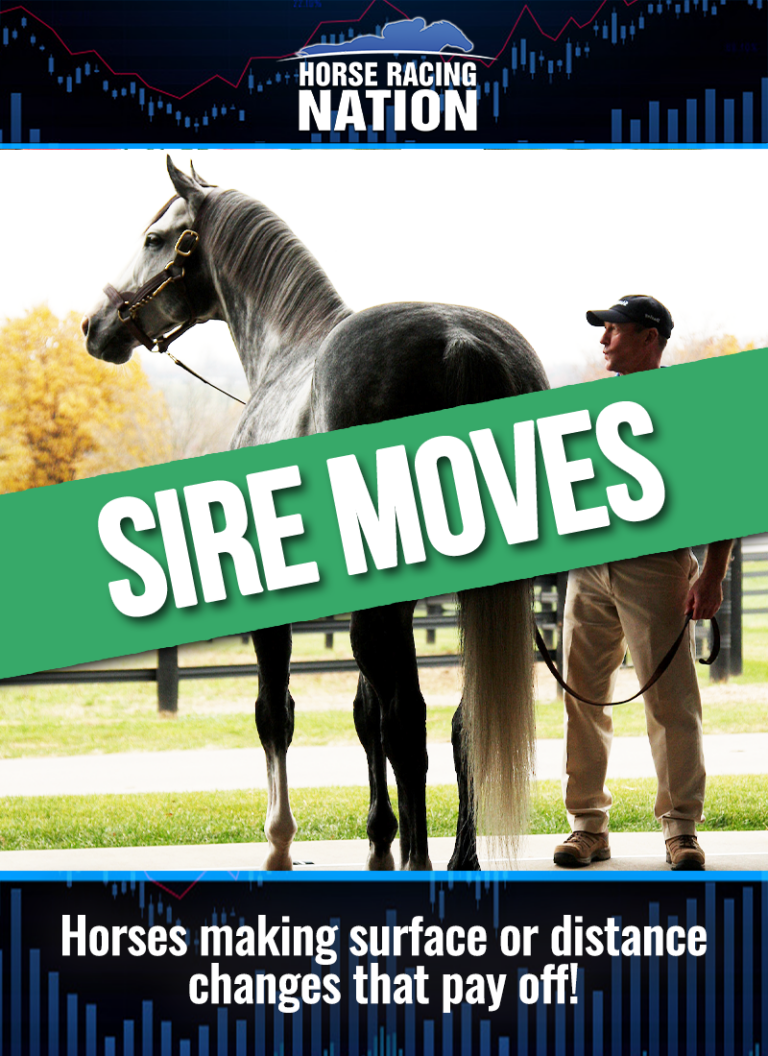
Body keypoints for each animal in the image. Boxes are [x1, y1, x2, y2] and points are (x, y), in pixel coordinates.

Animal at [82, 157, 549, 871]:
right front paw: (379, 841)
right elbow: (364, 717)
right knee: (455, 722)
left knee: (408, 723)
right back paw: (455, 857)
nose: (96, 324)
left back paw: (421, 859)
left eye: (156, 239)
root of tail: (460, 343)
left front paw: (280, 843)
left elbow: (277, 713)